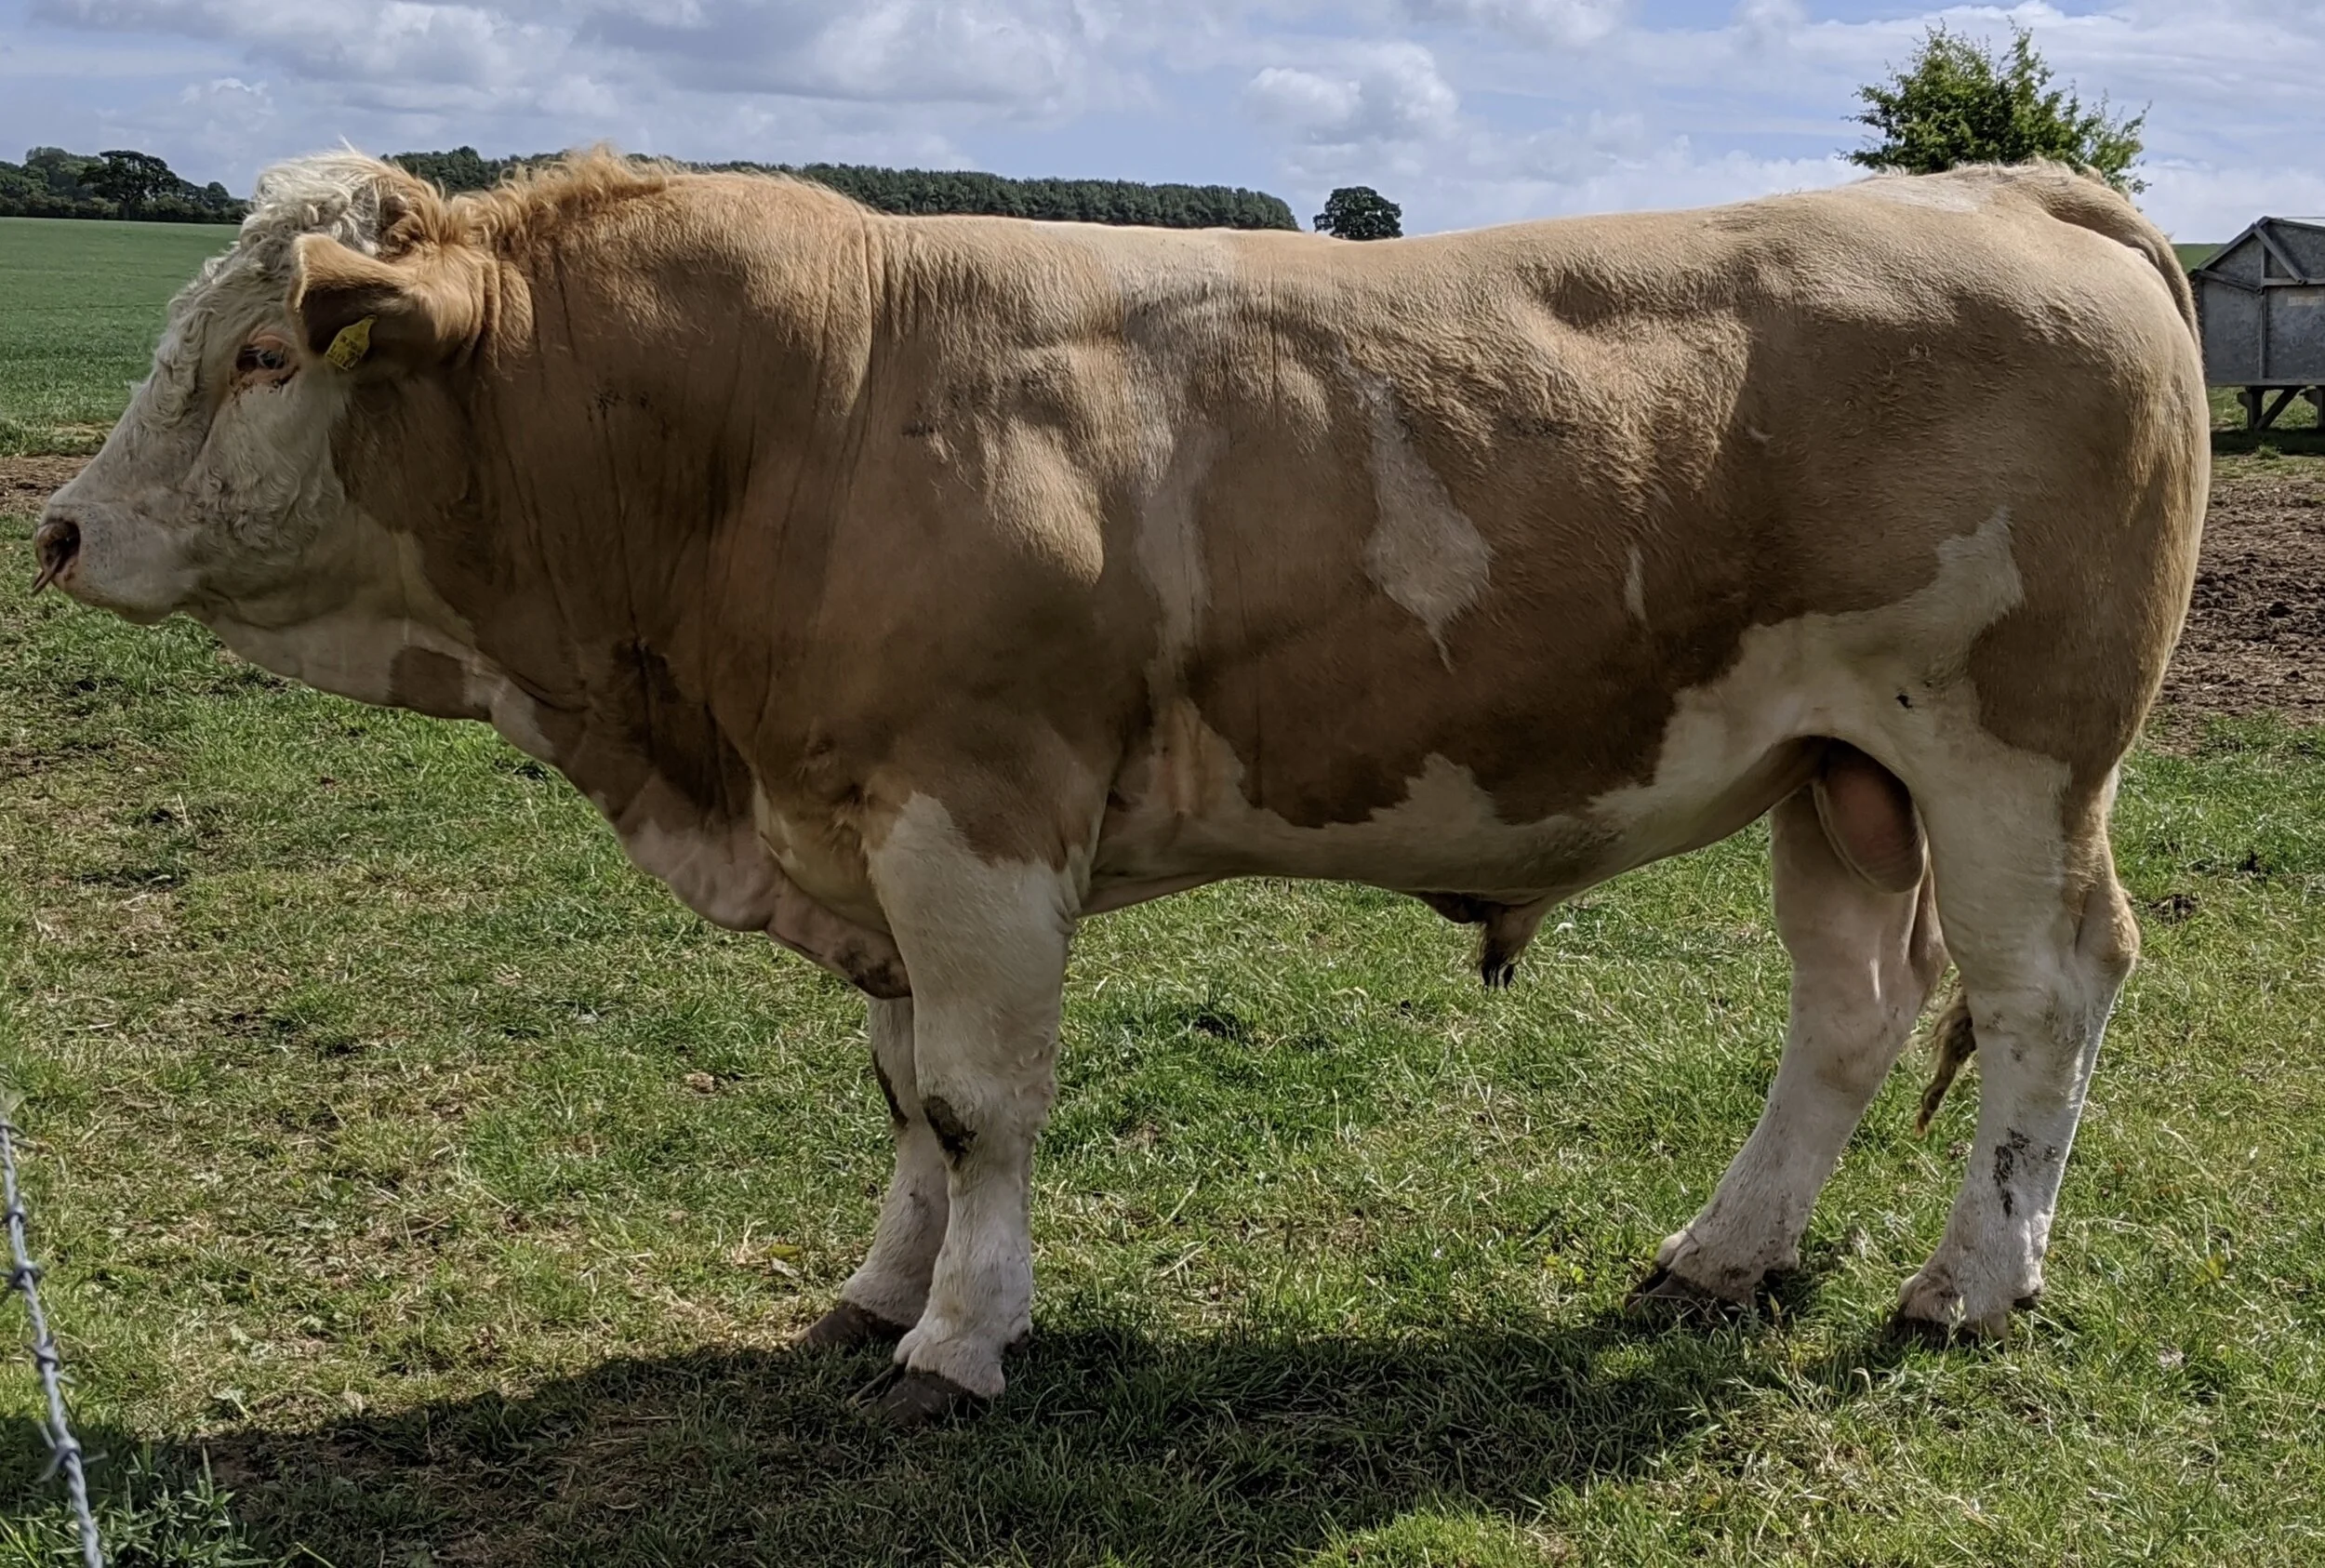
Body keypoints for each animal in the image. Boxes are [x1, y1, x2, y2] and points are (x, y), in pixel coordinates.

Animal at [33, 151, 2208, 1424]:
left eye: (260, 355)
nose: (57, 530)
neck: (787, 416)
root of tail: (2009, 190)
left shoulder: (975, 813)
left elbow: (982, 1101)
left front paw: (958, 1339)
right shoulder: (867, 825)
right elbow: (905, 1089)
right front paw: (873, 1288)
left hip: (2009, 751)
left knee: (2043, 996)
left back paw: (1969, 1285)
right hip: (1836, 770)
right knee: (1848, 1009)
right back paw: (1721, 1254)